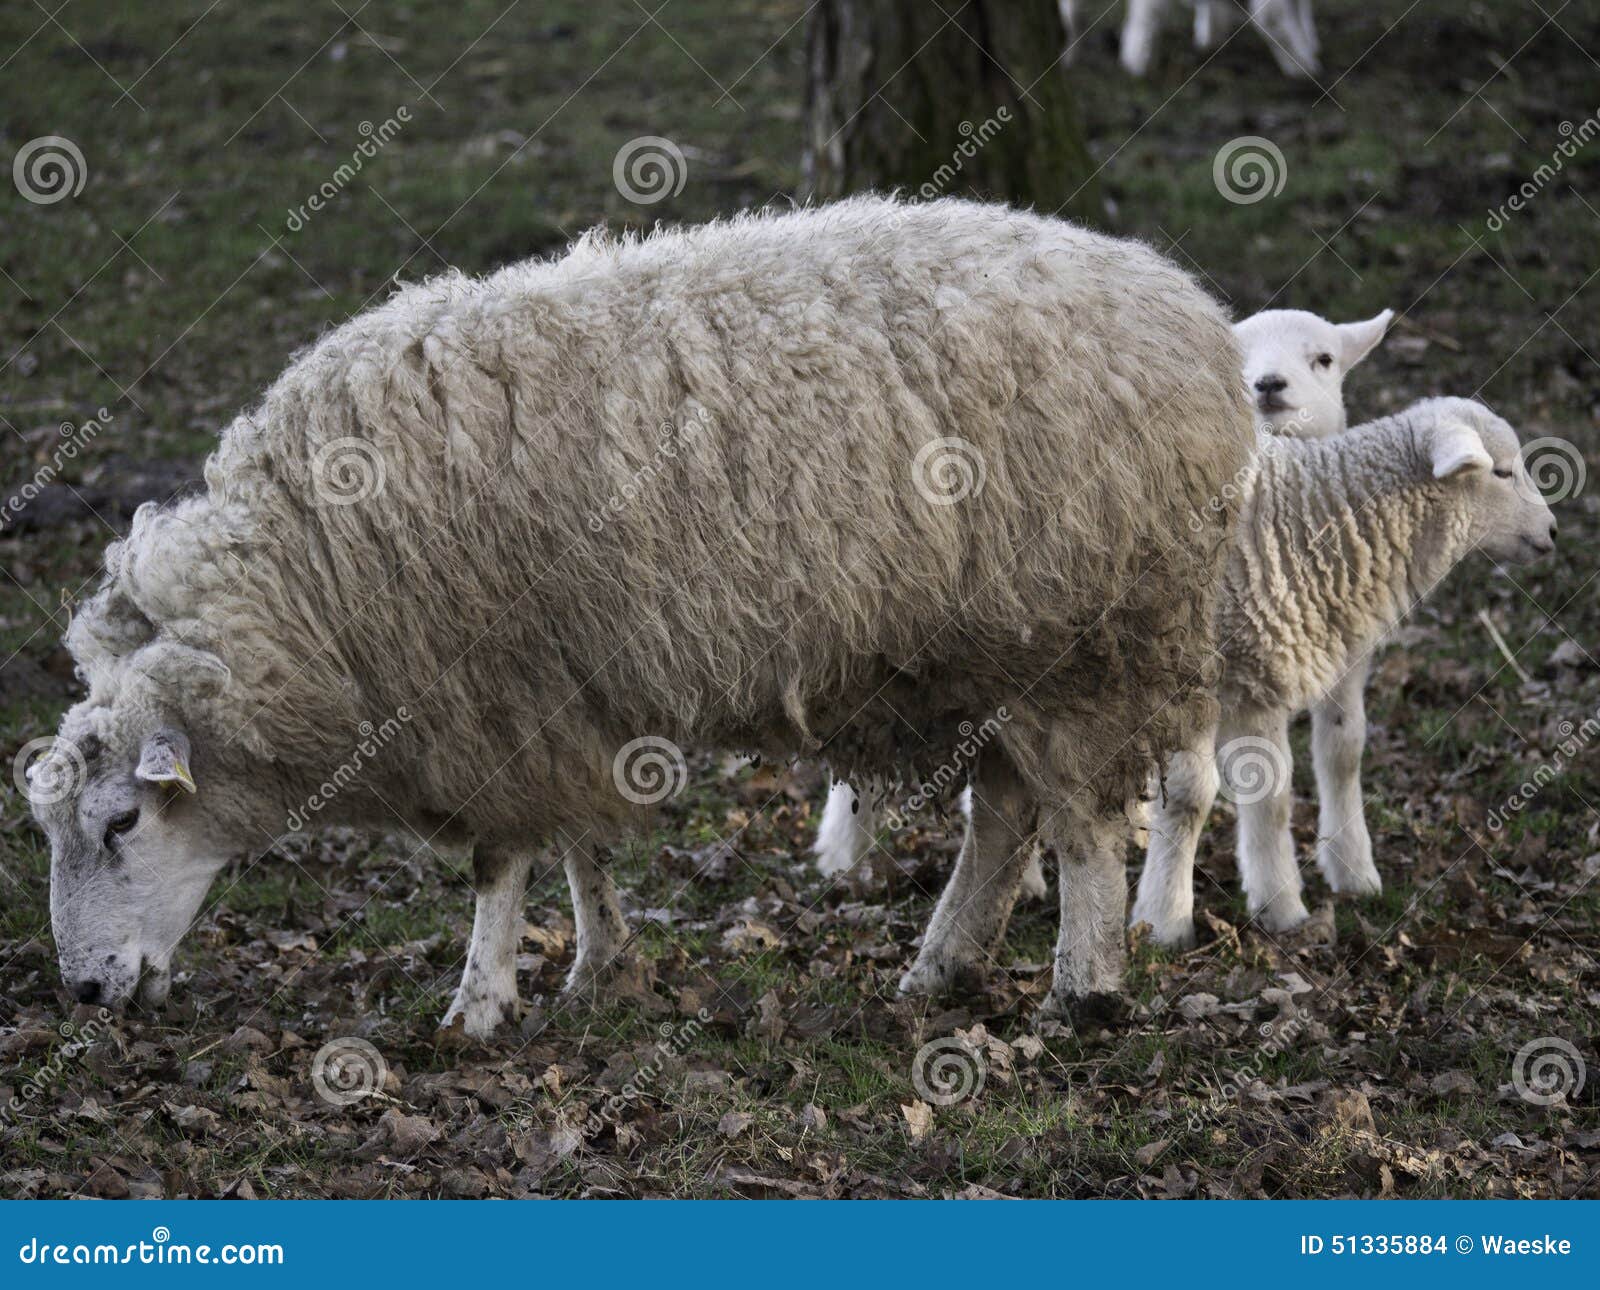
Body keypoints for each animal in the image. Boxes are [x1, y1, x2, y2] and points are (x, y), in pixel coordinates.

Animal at [27, 195, 1254, 1035]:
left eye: (122, 823)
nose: (82, 989)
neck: (313, 580)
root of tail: (1190, 316)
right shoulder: (567, 688)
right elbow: (581, 843)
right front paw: (599, 966)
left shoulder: (492, 693)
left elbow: (502, 858)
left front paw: (478, 1004)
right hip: (984, 655)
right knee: (1002, 819)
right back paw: (939, 968)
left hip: (1080, 637)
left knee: (1082, 823)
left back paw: (1084, 991)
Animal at [813, 306, 1392, 897]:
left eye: (1324, 358)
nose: (1270, 384)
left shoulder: (1346, 652)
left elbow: (1342, 750)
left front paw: (1354, 870)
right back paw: (848, 852)